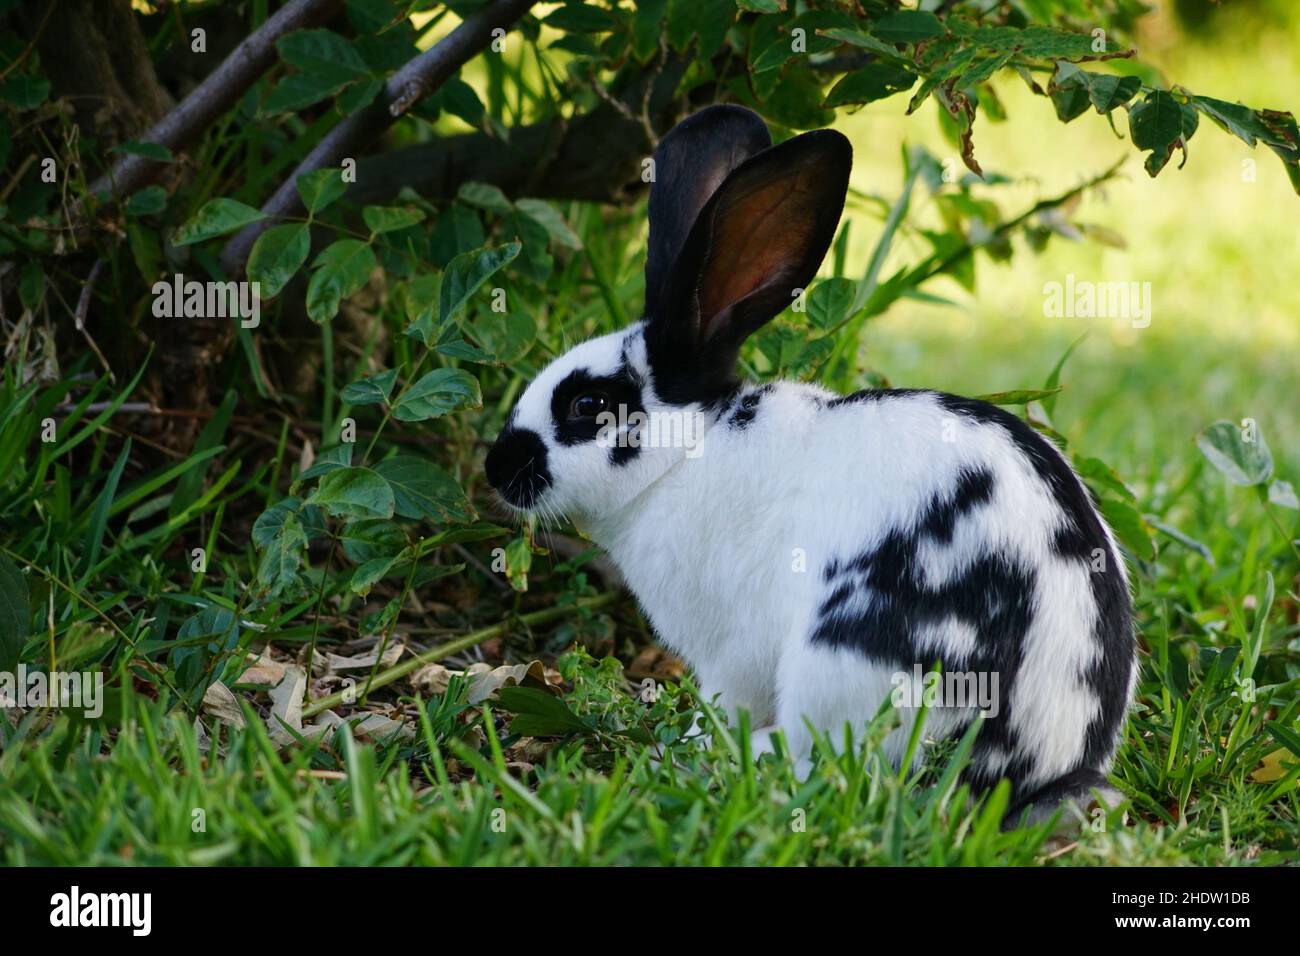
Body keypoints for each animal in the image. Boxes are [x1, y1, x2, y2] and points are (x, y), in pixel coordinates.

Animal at [484, 104, 1136, 825]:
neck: (688, 453)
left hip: (844, 659)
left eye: (588, 404)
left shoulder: (731, 651)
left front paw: (691, 740)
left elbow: (725, 700)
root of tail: (1040, 765)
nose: (497, 467)